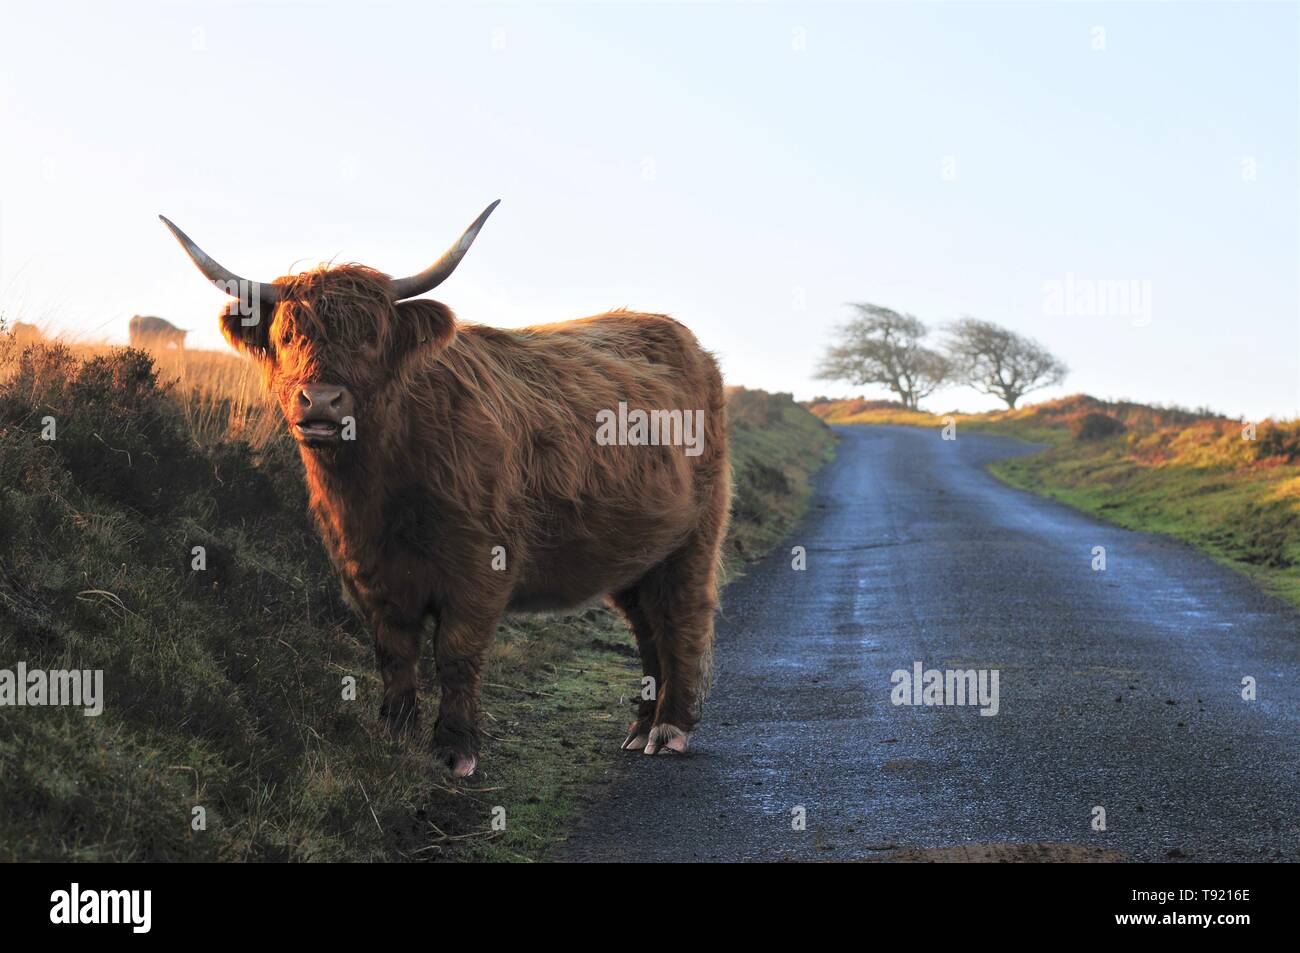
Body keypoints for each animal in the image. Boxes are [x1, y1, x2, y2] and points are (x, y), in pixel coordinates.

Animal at [160, 202, 730, 777]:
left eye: (372, 337)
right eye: (286, 335)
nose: (319, 401)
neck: (377, 489)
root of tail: (685, 340)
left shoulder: (480, 567)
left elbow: (456, 653)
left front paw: (456, 749)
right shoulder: (367, 573)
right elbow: (393, 654)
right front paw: (394, 733)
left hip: (693, 539)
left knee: (681, 617)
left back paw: (669, 728)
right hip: (637, 551)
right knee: (647, 626)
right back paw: (639, 727)